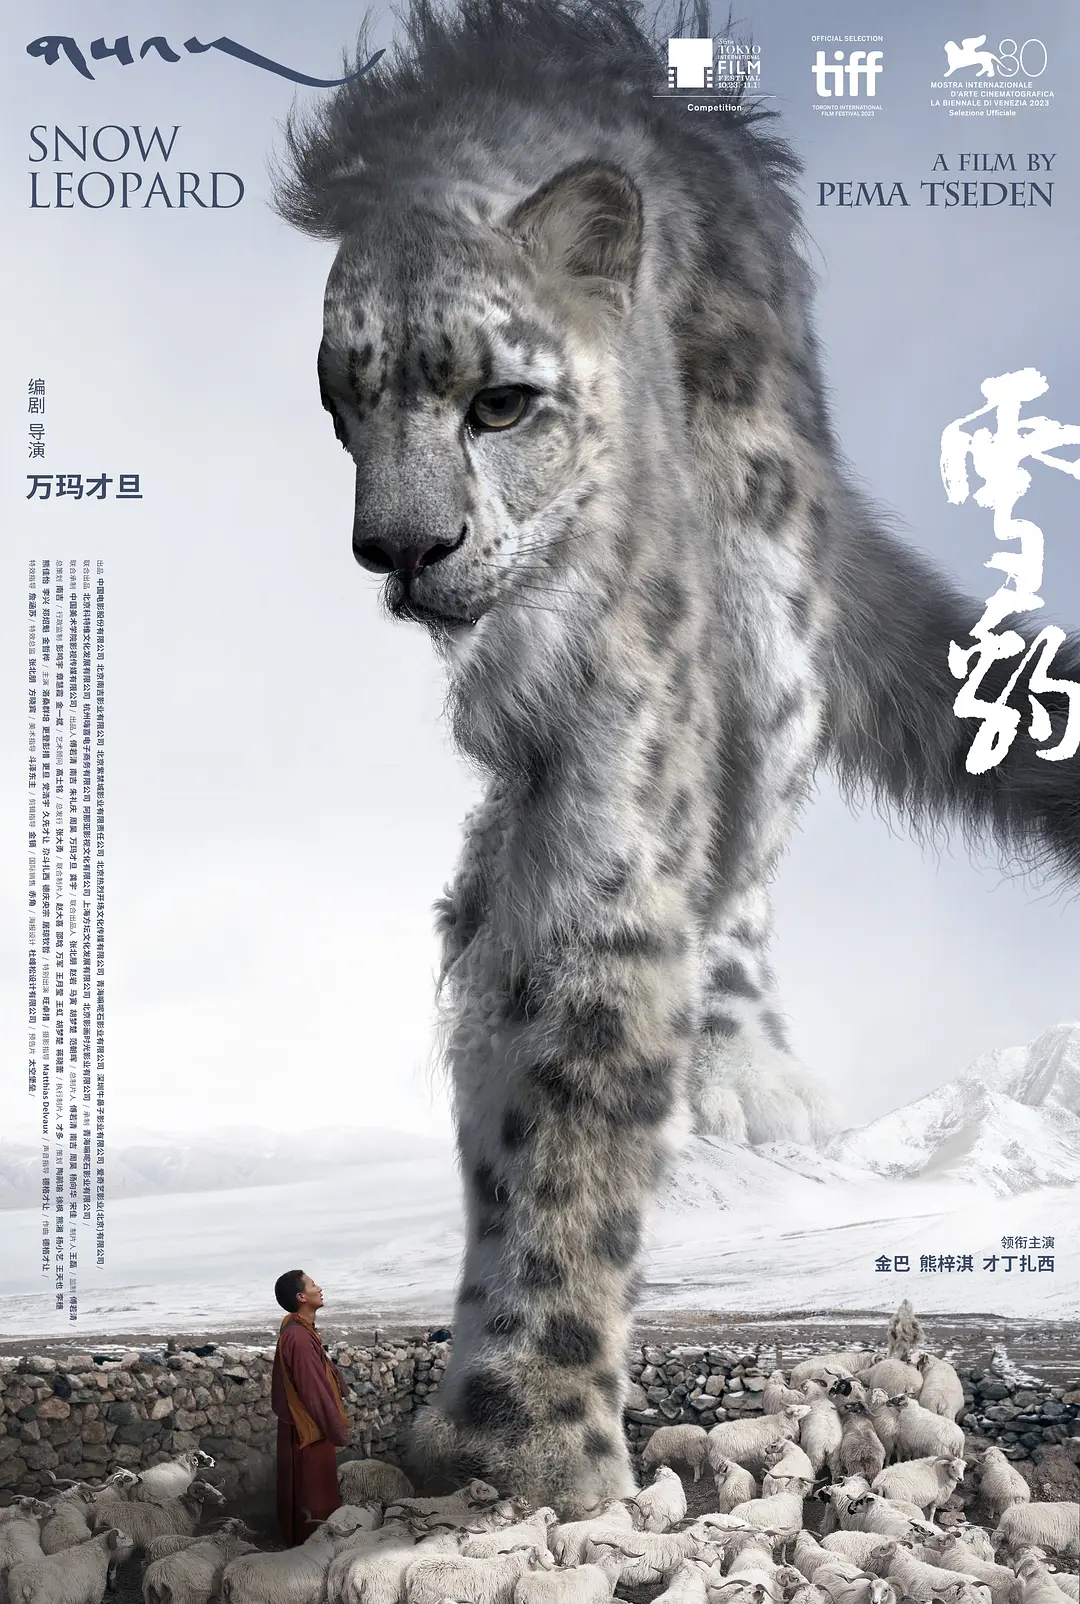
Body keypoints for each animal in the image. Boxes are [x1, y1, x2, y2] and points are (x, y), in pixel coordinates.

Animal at [273, 0, 1080, 1514]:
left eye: (502, 402)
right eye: (344, 400)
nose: (399, 548)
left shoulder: (616, 760)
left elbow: (583, 1040)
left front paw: (528, 1431)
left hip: (768, 603)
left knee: (753, 834)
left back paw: (745, 1069)